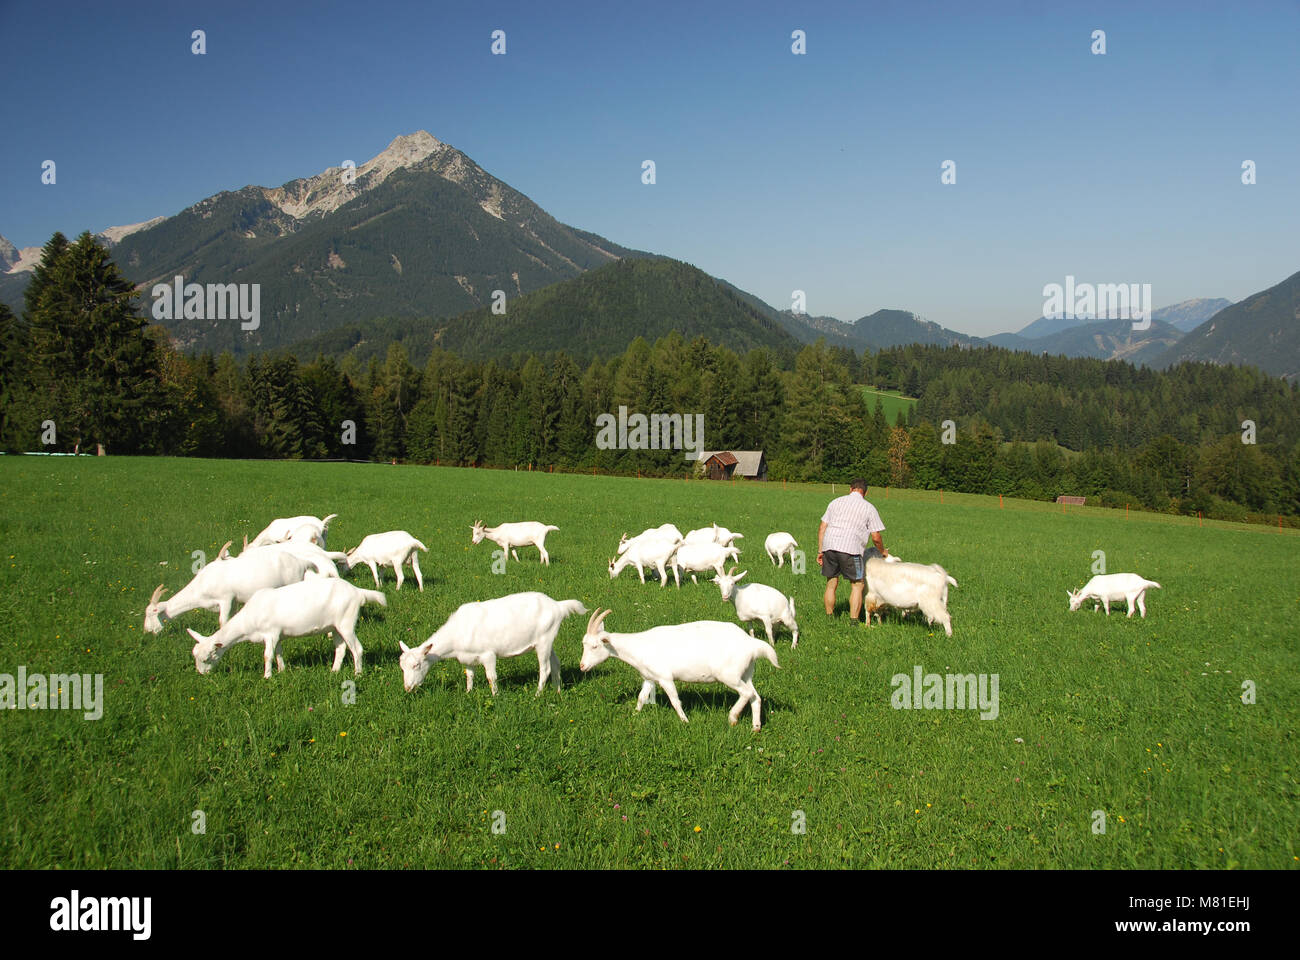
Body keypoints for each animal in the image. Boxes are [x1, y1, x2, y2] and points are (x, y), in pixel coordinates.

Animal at [144, 547, 317, 634]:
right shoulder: (233, 601)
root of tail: (302, 562)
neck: (201, 585)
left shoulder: (225, 598)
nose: (147, 630)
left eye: (152, 613)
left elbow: (223, 621)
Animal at [187, 577, 386, 678]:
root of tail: (358, 592)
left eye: (207, 658)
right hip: (335, 626)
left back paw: (357, 674)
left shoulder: (271, 633)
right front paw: (282, 670)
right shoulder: (278, 635)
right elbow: (278, 653)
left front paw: (267, 676)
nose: (202, 674)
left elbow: (267, 655)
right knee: (341, 648)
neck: (248, 621)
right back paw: (334, 670)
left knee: (357, 648)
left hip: (346, 623)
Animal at [398, 592, 587, 695]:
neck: (457, 632)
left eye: (416, 665)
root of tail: (558, 606)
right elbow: (470, 676)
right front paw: (468, 693)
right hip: (548, 641)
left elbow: (491, 677)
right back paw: (557, 691)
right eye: (402, 667)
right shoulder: (468, 658)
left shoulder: (488, 654)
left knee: (545, 668)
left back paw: (537, 695)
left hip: (543, 642)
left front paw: (495, 696)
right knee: (555, 664)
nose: (407, 688)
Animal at [578, 609, 779, 730]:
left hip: (730, 675)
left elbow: (675, 701)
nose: (582, 666)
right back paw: (756, 727)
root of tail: (751, 644)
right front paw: (635, 715)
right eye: (584, 644)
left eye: (595, 646)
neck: (639, 646)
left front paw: (685, 721)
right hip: (746, 674)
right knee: (755, 696)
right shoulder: (649, 678)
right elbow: (641, 697)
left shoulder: (665, 677)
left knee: (746, 693)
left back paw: (733, 717)